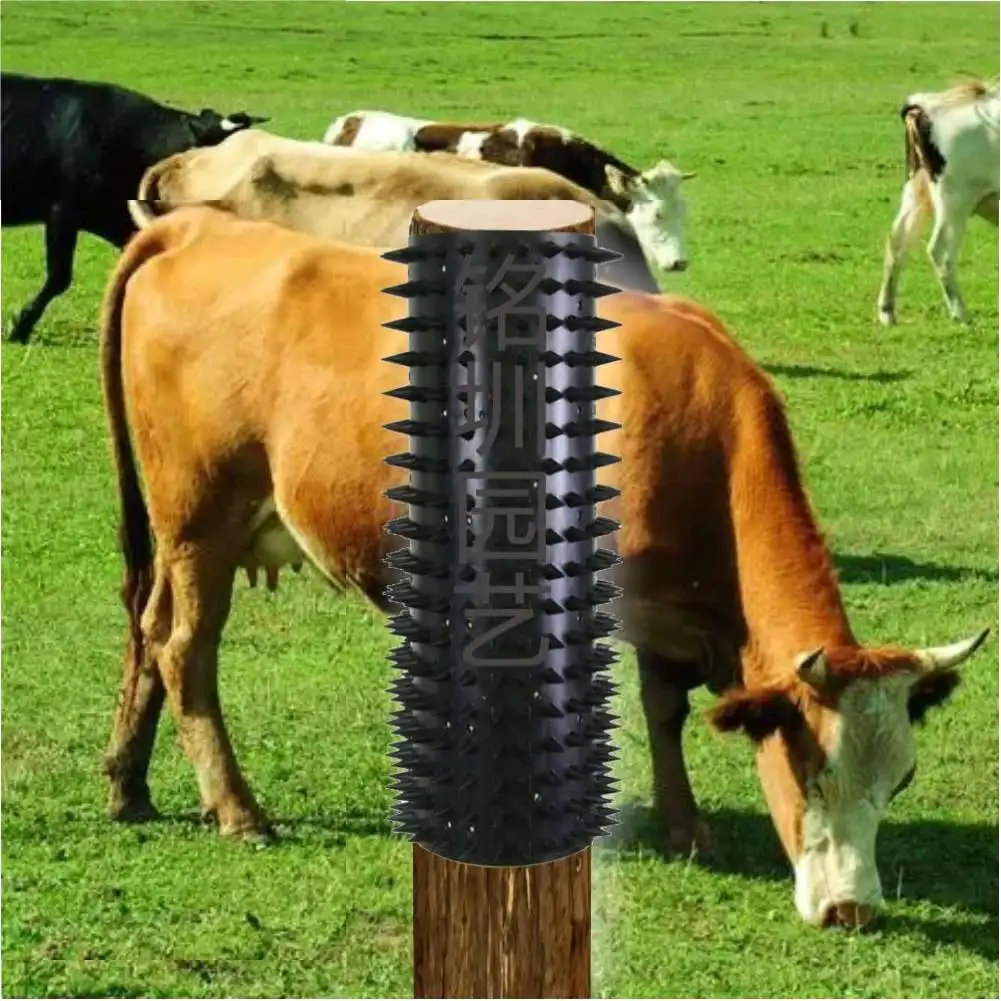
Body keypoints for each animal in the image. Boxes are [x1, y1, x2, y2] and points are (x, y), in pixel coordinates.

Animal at [99, 204, 988, 929]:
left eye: (900, 779)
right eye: (808, 772)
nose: (851, 909)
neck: (695, 426)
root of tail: (196, 227)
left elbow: (662, 708)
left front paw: (682, 822)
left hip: (182, 539)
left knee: (148, 628)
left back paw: (129, 784)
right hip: (201, 519)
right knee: (185, 650)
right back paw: (237, 807)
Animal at [876, 79, 999, 326]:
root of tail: (927, 104)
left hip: (917, 189)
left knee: (897, 240)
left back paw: (887, 311)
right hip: (954, 199)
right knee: (940, 251)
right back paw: (961, 314)